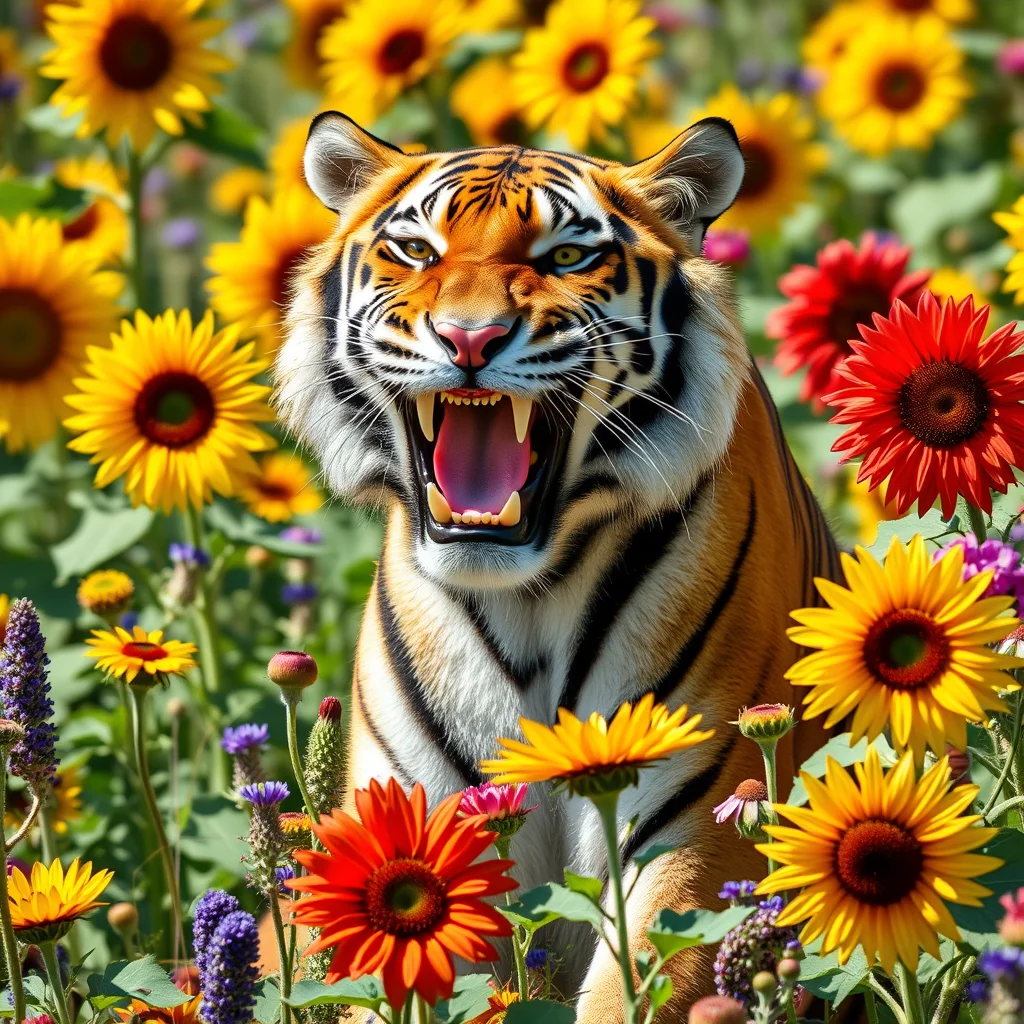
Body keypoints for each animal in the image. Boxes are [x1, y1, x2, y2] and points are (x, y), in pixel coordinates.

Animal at [275, 110, 842, 1020]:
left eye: (566, 257)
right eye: (418, 251)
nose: (468, 338)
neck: (526, 598)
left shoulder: (696, 824)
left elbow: (637, 984)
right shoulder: (420, 824)